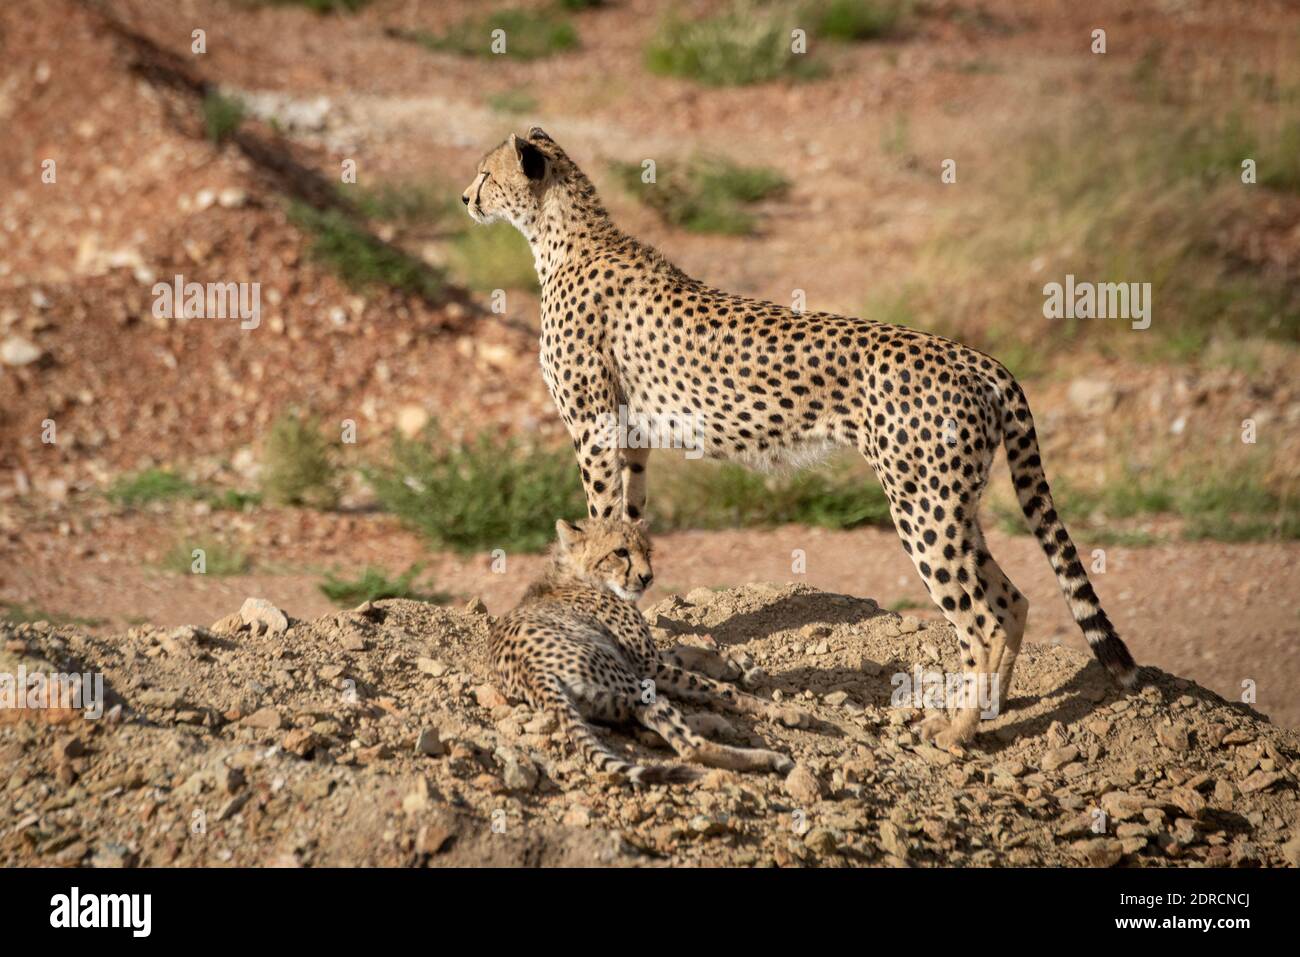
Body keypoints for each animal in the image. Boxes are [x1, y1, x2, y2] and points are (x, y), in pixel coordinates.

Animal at [464, 128, 1138, 749]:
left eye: (485, 172)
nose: (465, 197)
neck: (564, 236)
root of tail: (976, 357)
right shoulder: (632, 437)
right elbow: (628, 521)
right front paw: (629, 598)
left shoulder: (595, 429)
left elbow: (600, 516)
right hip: (952, 503)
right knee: (1012, 599)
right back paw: (989, 714)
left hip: (921, 508)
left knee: (981, 619)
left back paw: (955, 731)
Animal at [489, 518, 804, 784]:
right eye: (620, 552)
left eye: (647, 550)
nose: (647, 577)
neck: (577, 576)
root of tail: (532, 674)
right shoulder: (645, 665)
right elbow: (722, 689)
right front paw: (784, 710)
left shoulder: (646, 658)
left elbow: (685, 651)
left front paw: (732, 663)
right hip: (632, 683)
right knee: (687, 745)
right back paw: (769, 756)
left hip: (608, 702)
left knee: (647, 730)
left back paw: (715, 723)